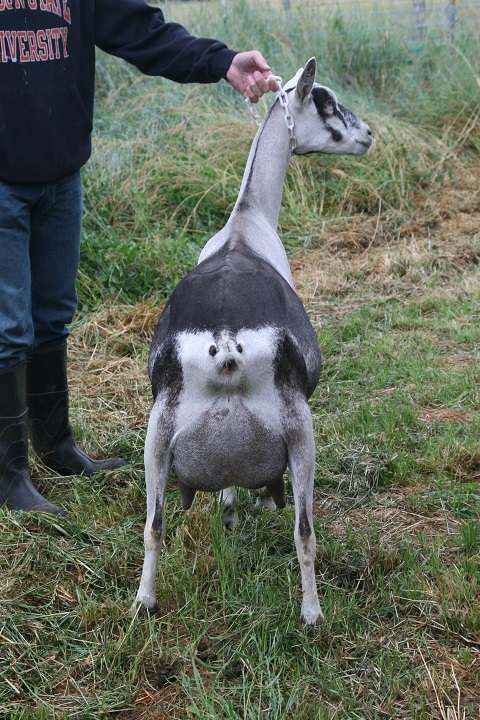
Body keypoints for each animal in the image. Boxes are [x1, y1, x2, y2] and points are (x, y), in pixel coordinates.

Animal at [134, 58, 372, 626]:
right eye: (327, 102)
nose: (368, 136)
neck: (247, 221)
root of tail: (225, 341)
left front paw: (230, 514)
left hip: (157, 432)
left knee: (153, 525)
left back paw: (144, 602)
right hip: (301, 429)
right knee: (305, 530)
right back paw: (312, 614)